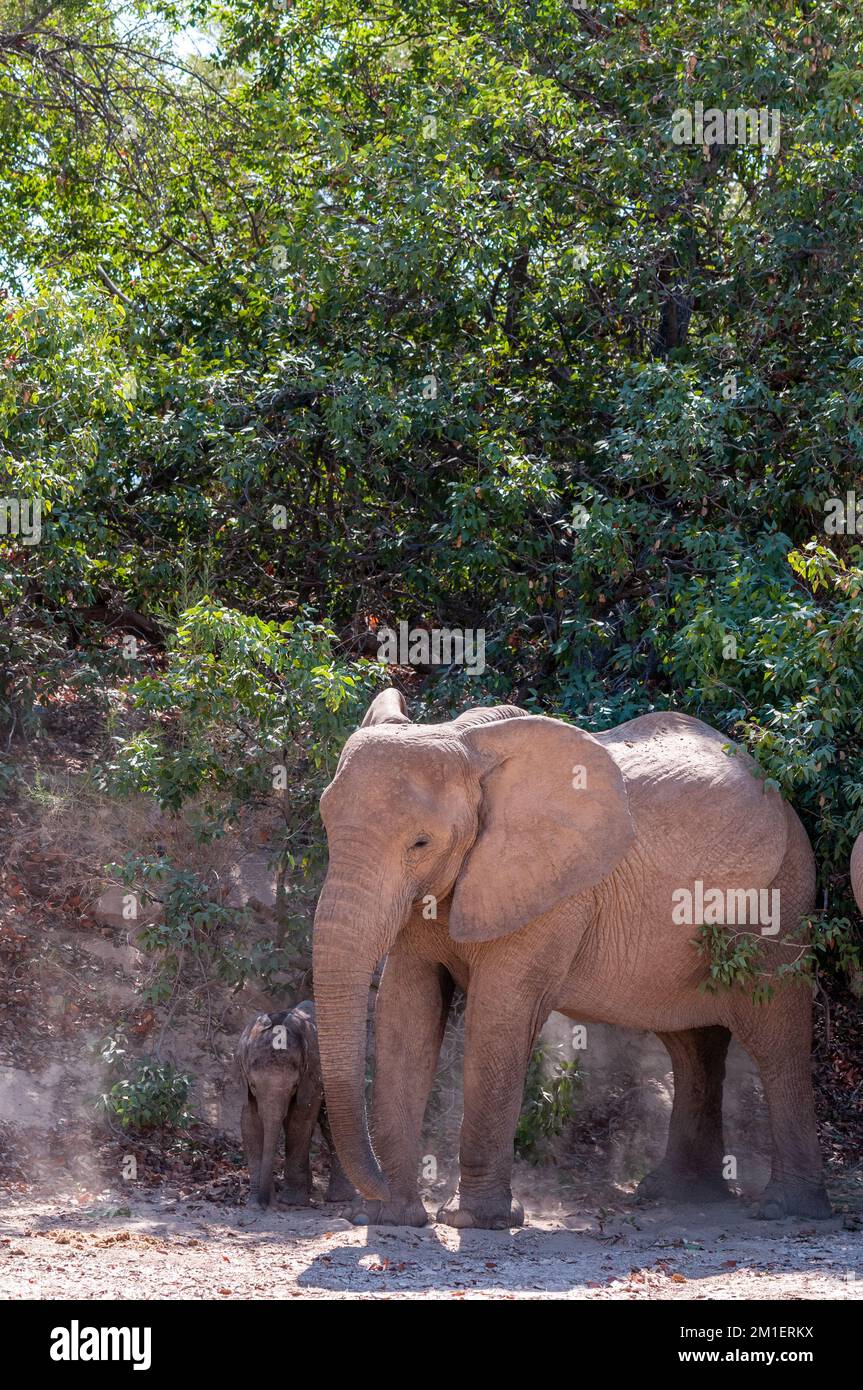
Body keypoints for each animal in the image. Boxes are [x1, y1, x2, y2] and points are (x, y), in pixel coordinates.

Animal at [237, 1001, 354, 1208]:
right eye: (253, 1085)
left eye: (293, 1086)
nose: (265, 1203)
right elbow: (250, 1122)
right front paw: (254, 1205)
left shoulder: (311, 1074)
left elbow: (299, 1121)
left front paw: (292, 1202)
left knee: (331, 1123)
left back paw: (340, 1197)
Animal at [312, 689, 831, 1229]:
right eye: (326, 820)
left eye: (421, 842)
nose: (362, 1194)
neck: (471, 747)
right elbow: (406, 1013)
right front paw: (389, 1217)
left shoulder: (556, 893)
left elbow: (498, 1017)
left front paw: (475, 1221)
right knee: (693, 1047)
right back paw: (680, 1195)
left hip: (780, 897)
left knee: (777, 1040)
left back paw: (786, 1209)